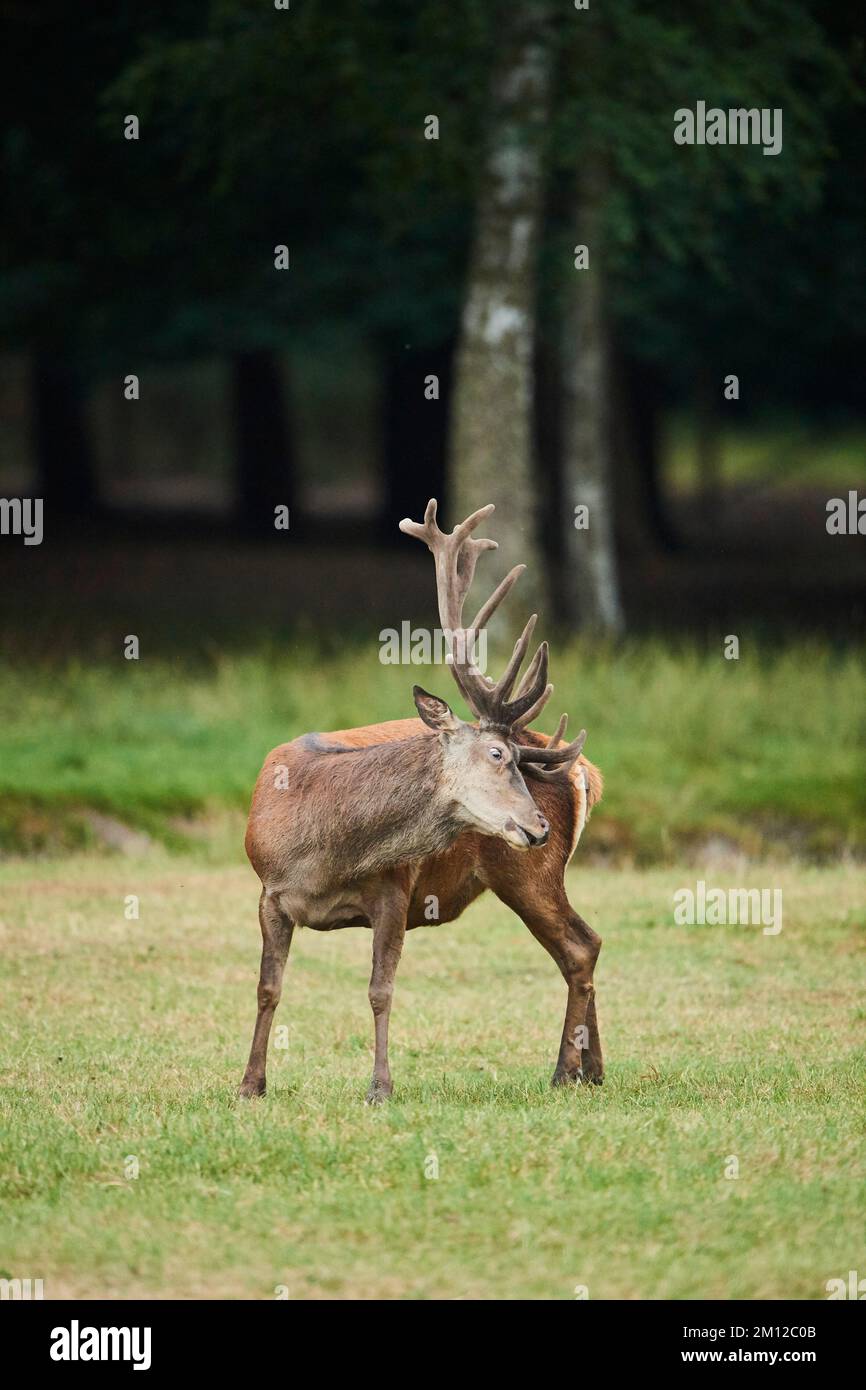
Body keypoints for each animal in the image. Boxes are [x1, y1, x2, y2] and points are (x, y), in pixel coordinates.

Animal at [241, 500, 604, 1103]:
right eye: (497, 754)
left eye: (512, 758)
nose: (538, 826)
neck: (323, 853)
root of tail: (585, 772)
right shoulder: (268, 891)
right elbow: (268, 987)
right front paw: (250, 1084)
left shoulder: (395, 889)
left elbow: (379, 989)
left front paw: (380, 1087)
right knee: (585, 943)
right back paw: (593, 1069)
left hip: (531, 872)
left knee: (579, 947)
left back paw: (563, 1071)